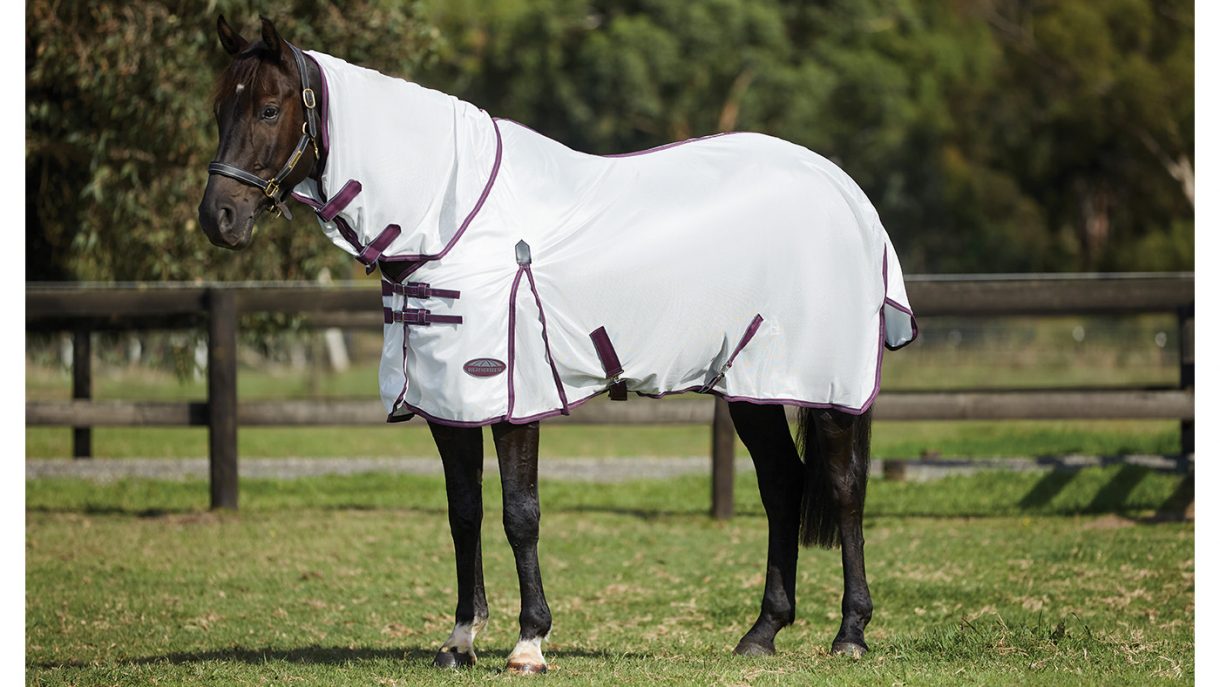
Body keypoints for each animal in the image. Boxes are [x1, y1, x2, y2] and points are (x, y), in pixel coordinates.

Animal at [198, 16, 916, 674]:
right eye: (217, 107)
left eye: (268, 108)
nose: (218, 218)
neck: (456, 220)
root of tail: (845, 192)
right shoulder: (448, 403)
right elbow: (463, 512)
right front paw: (459, 641)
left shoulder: (514, 399)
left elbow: (520, 513)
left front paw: (528, 643)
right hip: (751, 386)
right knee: (782, 484)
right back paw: (762, 632)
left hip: (824, 387)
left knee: (844, 488)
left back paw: (850, 633)